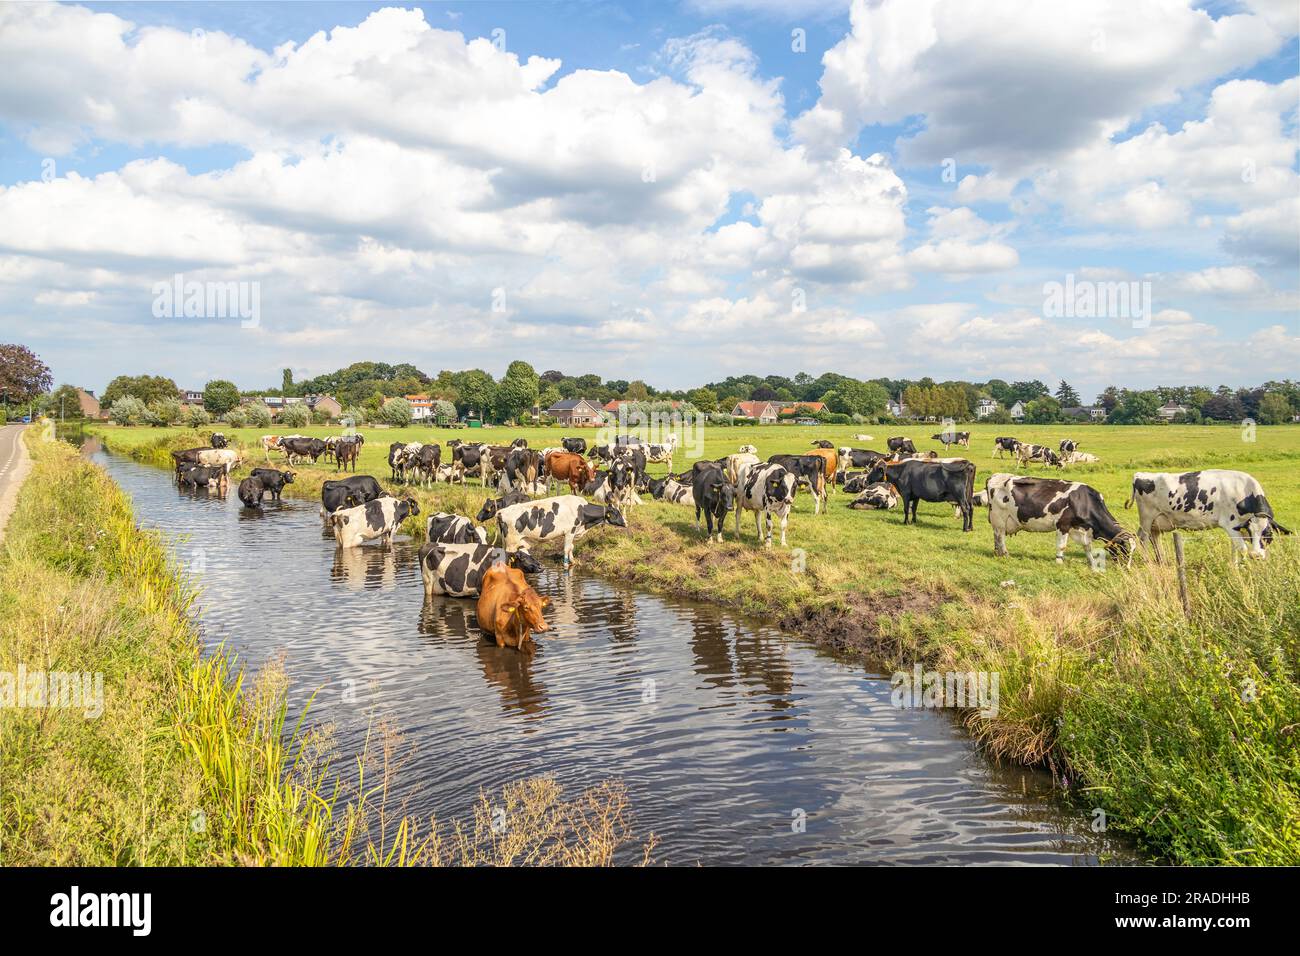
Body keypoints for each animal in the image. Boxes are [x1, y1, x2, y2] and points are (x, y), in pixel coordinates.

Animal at [495, 495, 627, 565]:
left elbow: (571, 547)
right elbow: (567, 548)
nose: (626, 522)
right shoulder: (570, 531)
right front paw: (566, 564)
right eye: (616, 513)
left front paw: (573, 561)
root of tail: (501, 511)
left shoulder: (572, 532)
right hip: (511, 542)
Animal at [986, 473, 1135, 566]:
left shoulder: (1082, 529)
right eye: (1125, 548)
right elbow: (1062, 545)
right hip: (999, 519)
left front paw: (1092, 561)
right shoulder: (1063, 525)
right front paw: (1059, 561)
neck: (1084, 501)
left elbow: (1087, 547)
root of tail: (994, 476)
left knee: (996, 536)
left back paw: (997, 553)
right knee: (1000, 537)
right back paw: (1005, 554)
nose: (1127, 568)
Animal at [1126, 469, 1290, 560]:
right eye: (1251, 532)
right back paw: (1148, 562)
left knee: (1154, 539)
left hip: (1158, 521)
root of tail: (1140, 474)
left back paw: (1161, 562)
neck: (1244, 492)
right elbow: (1242, 549)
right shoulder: (1230, 525)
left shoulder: (1239, 528)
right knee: (1142, 539)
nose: (1255, 555)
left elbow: (1235, 549)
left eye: (1268, 533)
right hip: (1146, 518)